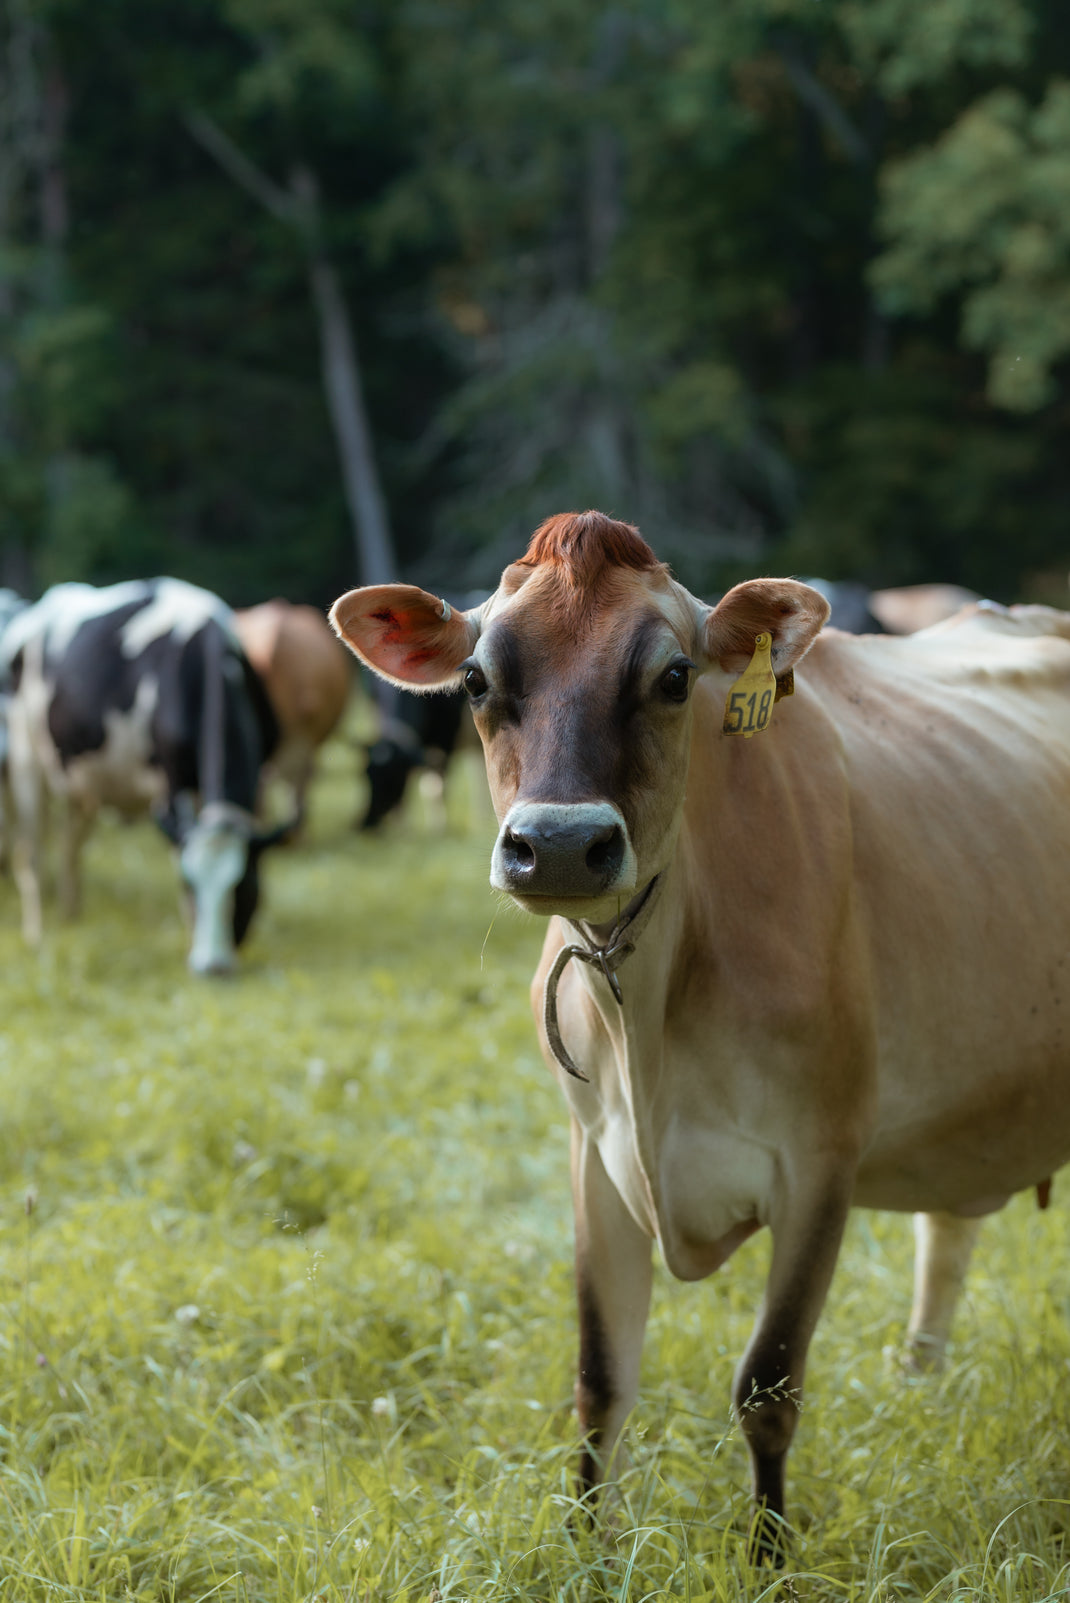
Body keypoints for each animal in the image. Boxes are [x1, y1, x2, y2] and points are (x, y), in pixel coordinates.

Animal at [1, 578, 291, 973]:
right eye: (189, 885)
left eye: (243, 885)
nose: (213, 967)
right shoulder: (171, 783)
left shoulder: (258, 773)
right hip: (25, 761)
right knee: (30, 853)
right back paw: (37, 933)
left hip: (82, 779)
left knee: (69, 846)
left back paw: (71, 915)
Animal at [329, 510, 1070, 1561]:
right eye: (474, 679)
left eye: (676, 676)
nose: (561, 844)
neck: (646, 1009)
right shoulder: (591, 1157)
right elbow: (600, 1378)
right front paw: (587, 1553)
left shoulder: (820, 1161)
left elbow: (767, 1384)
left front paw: (769, 1559)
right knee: (949, 1234)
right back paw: (919, 1386)